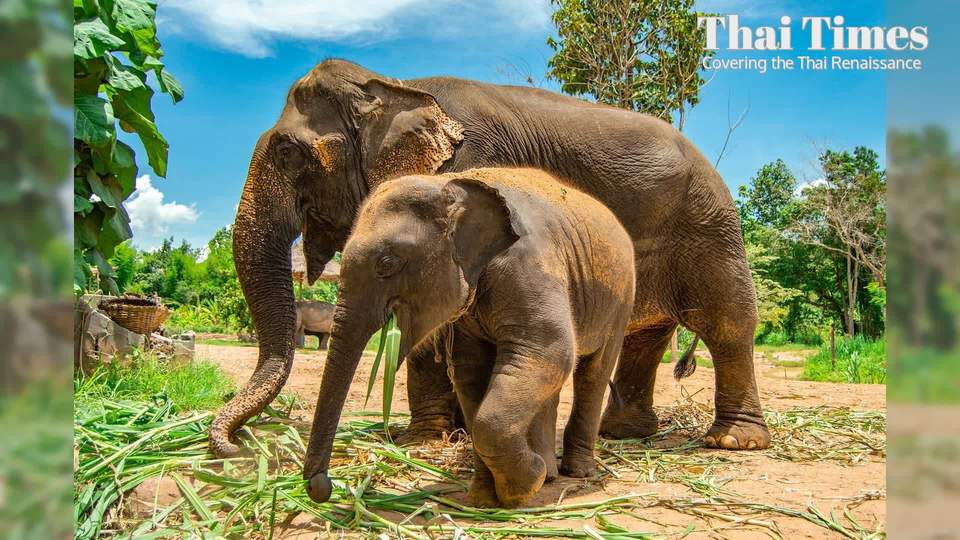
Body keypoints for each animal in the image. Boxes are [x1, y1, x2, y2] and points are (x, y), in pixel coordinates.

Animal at [210, 58, 769, 459]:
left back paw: (734, 441)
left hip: (710, 228)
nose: (238, 448)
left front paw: (423, 440)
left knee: (727, 322)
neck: (395, 87)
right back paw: (624, 435)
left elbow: (436, 318)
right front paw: (440, 435)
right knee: (643, 338)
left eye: (288, 153)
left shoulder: (469, 168)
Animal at [302, 168, 636, 507]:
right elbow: (471, 369)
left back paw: (577, 472)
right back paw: (550, 474)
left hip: (622, 296)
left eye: (387, 264)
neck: (449, 183)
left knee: (593, 372)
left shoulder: (529, 265)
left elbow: (551, 349)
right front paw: (484, 500)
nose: (321, 486)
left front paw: (524, 486)